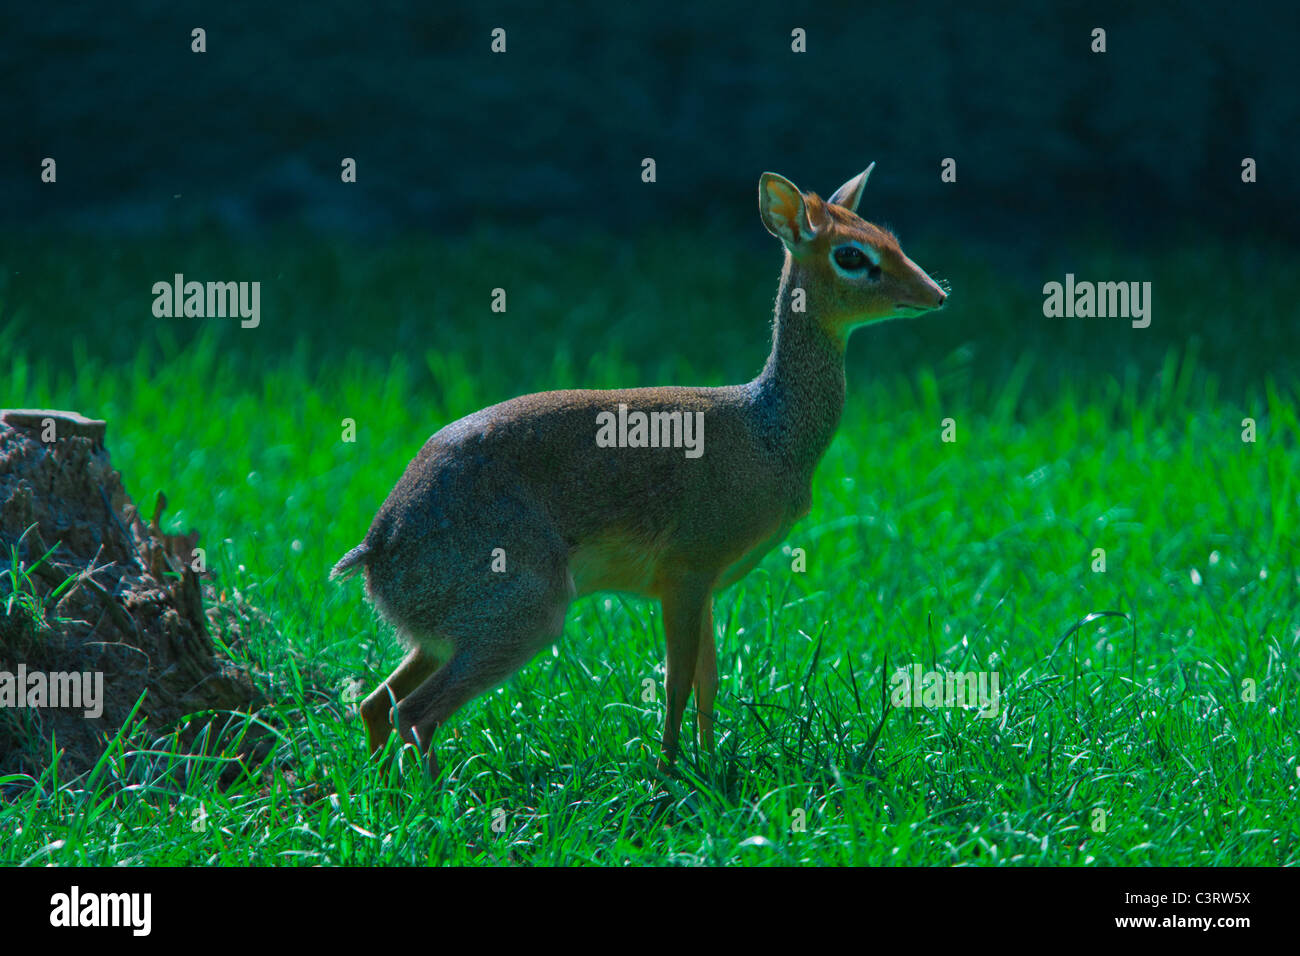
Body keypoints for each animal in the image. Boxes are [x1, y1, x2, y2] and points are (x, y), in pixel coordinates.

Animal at [331, 164, 948, 779]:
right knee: (415, 712)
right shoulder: (686, 572)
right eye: (851, 255)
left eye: (890, 237)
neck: (768, 430)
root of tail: (377, 546)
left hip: (449, 634)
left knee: (375, 703)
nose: (936, 294)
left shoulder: (708, 585)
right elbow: (677, 684)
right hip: (525, 614)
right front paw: (670, 775)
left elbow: (708, 682)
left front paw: (705, 765)